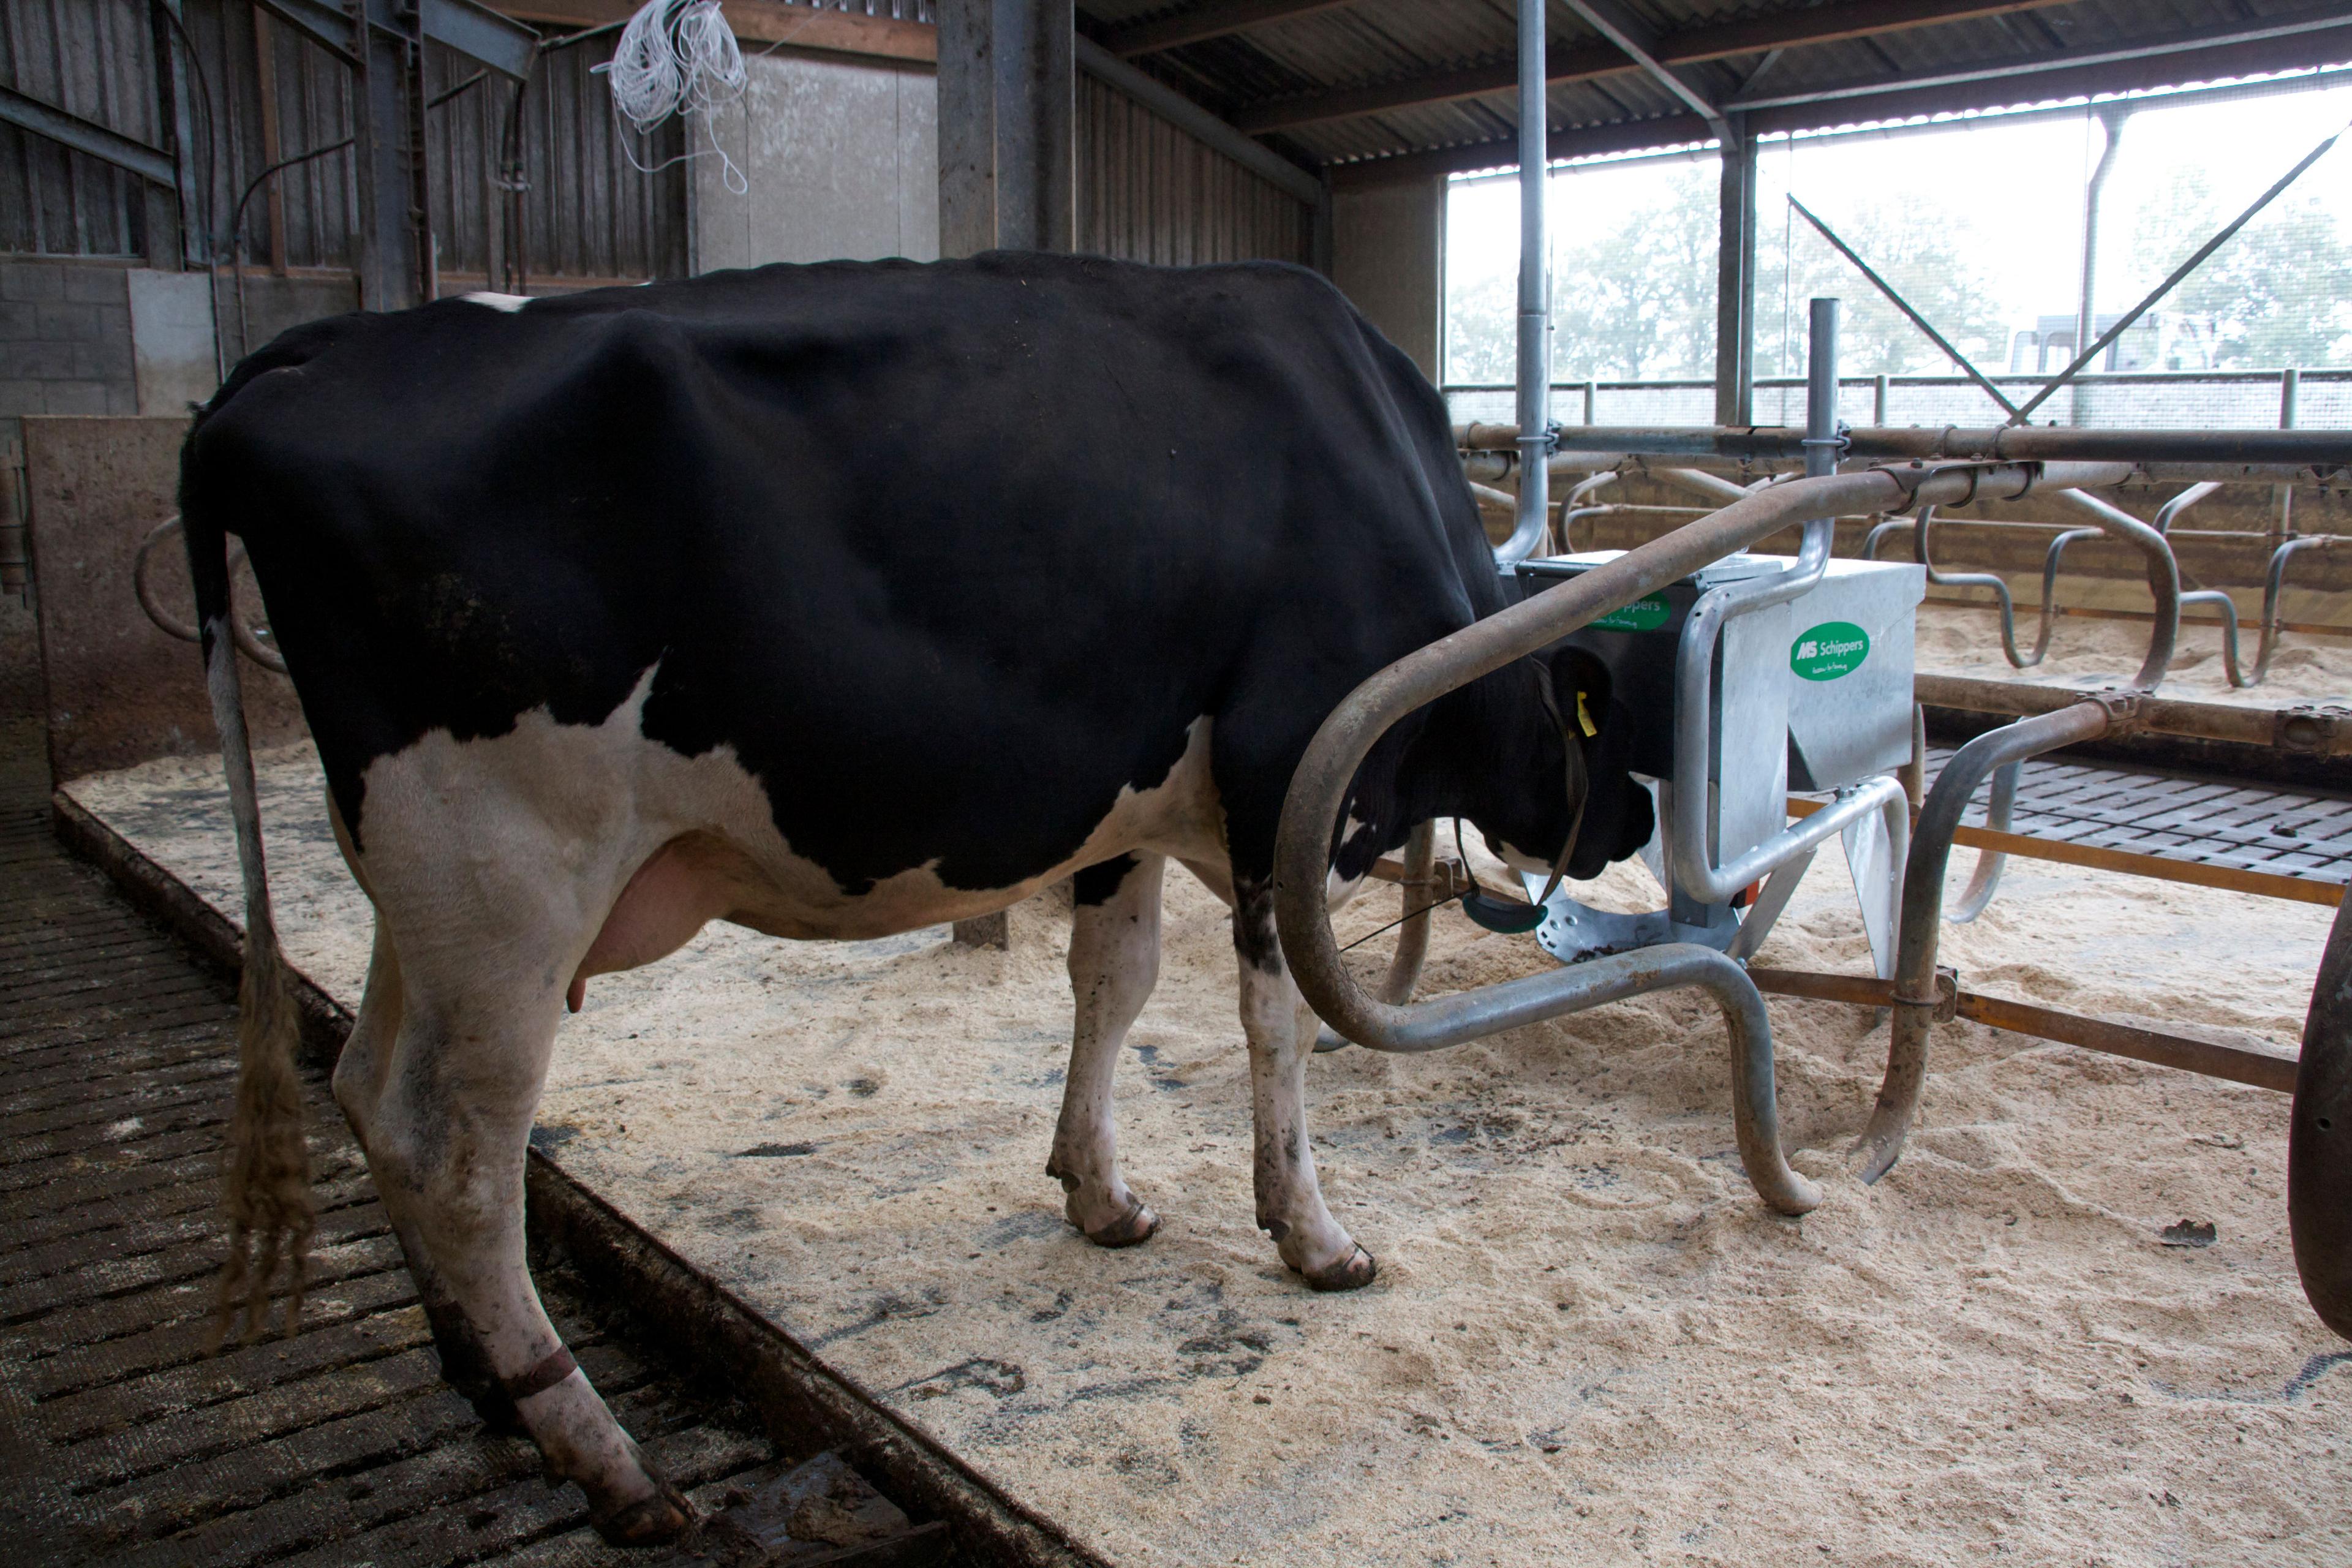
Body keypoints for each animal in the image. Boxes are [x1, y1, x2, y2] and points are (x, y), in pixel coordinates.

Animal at [181, 251, 1656, 1543]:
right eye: (1603, 724)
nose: (1638, 817)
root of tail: (321, 347)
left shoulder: (1126, 803)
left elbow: (1113, 985)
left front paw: (1099, 1193)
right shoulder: (1292, 780)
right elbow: (1278, 1023)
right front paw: (1314, 1235)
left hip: (418, 889)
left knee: (368, 1089)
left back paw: (479, 1375)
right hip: (507, 872)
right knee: (455, 1147)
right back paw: (606, 1459)